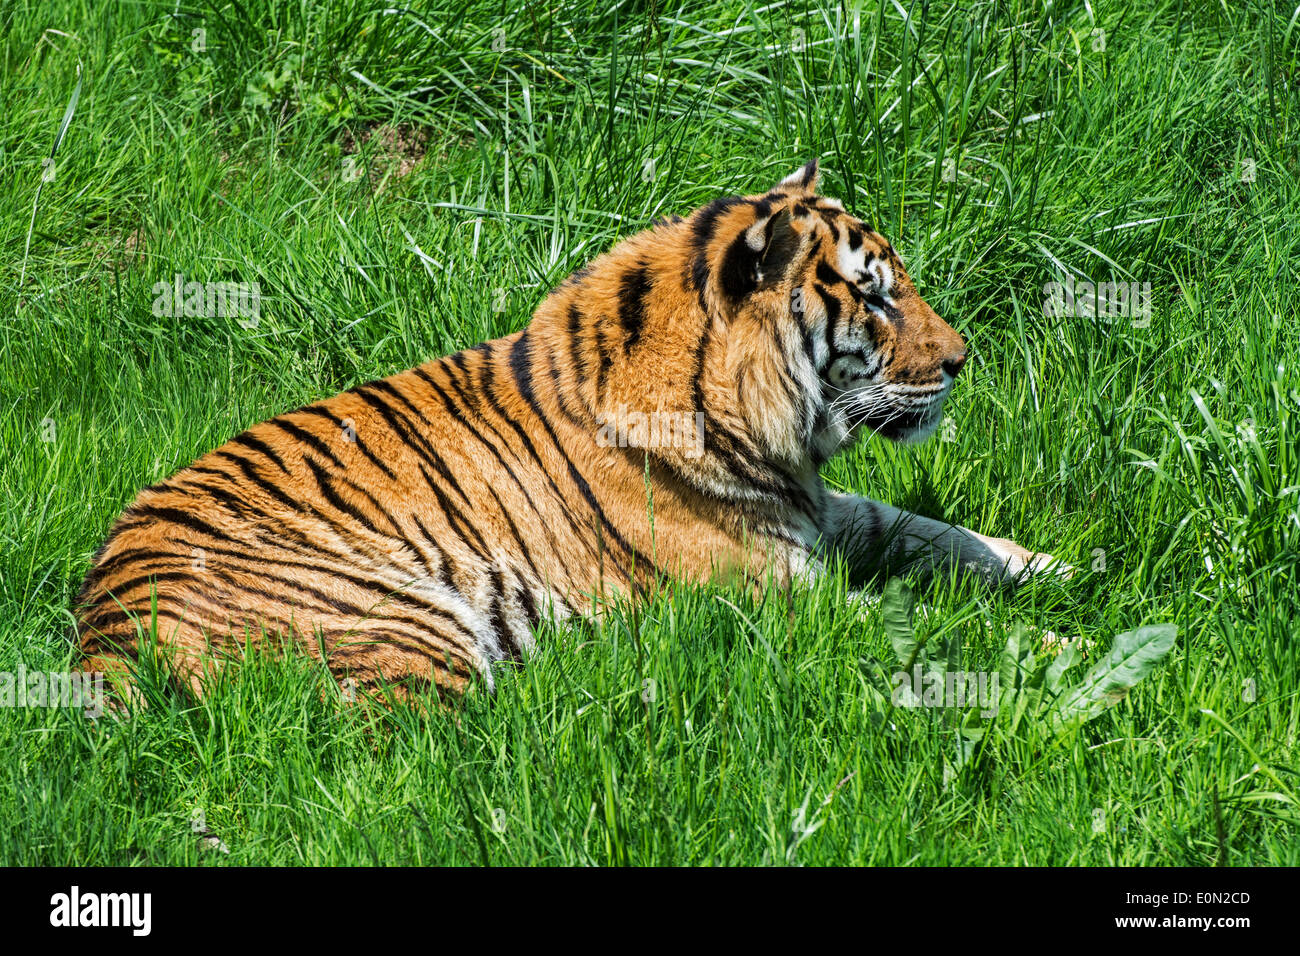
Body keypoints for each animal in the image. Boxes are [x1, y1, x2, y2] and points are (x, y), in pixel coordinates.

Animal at [74, 160, 1069, 700]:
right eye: (874, 295)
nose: (963, 358)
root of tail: (101, 631)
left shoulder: (820, 514)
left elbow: (931, 532)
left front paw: (1059, 567)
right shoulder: (782, 590)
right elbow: (936, 627)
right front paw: (1067, 648)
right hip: (402, 618)